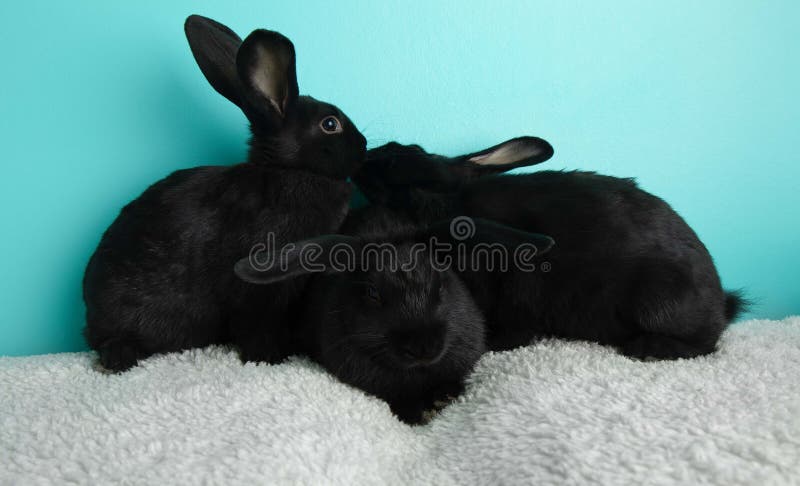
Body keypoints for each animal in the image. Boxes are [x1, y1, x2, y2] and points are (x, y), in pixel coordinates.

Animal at [82, 15, 367, 372]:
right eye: (330, 124)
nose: (364, 147)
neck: (290, 172)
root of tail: (90, 321)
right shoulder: (261, 285)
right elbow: (257, 325)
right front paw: (271, 357)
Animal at [354, 138, 747, 360]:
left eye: (398, 156)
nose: (365, 156)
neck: (444, 201)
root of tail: (720, 302)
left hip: (656, 301)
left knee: (708, 344)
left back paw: (648, 349)